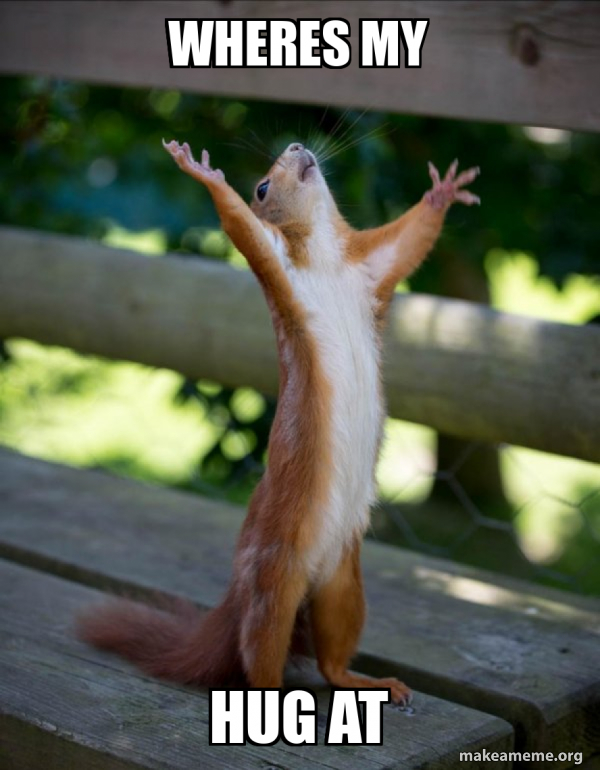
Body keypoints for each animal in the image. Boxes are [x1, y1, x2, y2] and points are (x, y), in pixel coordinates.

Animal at [77, 138, 479, 705]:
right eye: (262, 187)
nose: (296, 146)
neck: (327, 259)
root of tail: (238, 594)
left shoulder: (372, 267)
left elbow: (410, 240)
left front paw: (442, 192)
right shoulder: (277, 264)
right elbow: (240, 226)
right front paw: (203, 173)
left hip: (344, 585)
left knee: (332, 659)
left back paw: (368, 680)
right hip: (273, 583)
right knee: (259, 655)